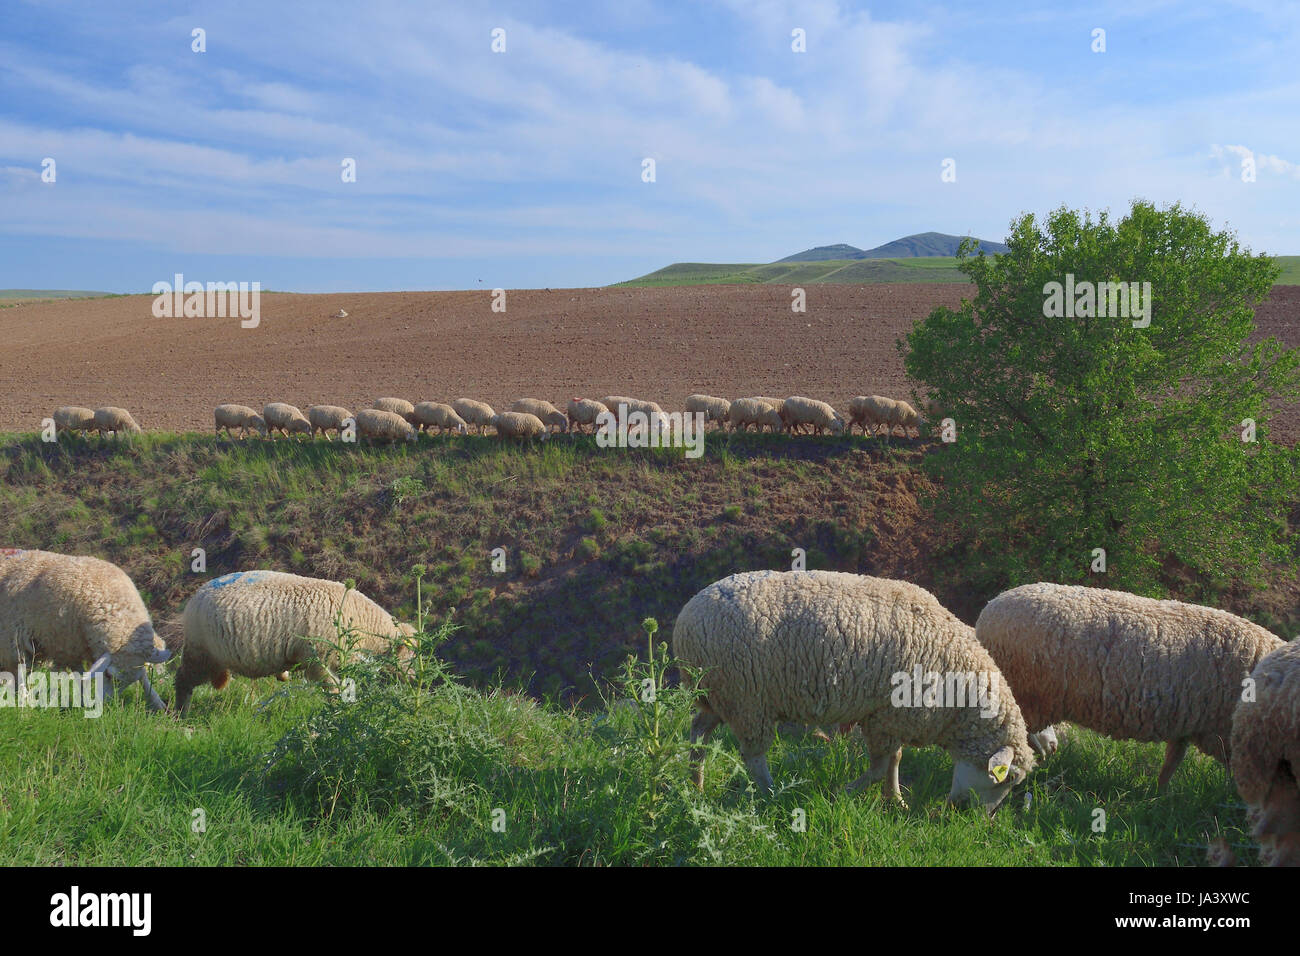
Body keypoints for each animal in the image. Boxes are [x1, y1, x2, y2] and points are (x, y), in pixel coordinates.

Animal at [0, 549, 171, 710]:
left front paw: (157, 702)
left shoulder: (77, 648)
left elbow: (143, 678)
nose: (106, 704)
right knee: (19, 667)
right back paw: (24, 700)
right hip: (13, 634)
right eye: (108, 675)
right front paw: (84, 700)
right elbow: (80, 676)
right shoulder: (68, 646)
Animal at [173, 570, 415, 713]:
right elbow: (334, 691)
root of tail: (198, 592)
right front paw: (339, 712)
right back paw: (180, 713)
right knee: (182, 679)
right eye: (411, 657)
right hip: (200, 651)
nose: (415, 681)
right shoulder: (319, 660)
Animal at [673, 570, 1035, 812]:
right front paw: (842, 793)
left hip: (716, 697)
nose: (978, 820)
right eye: (1008, 780)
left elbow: (893, 761)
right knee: (753, 755)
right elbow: (877, 769)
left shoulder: (891, 717)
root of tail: (685, 619)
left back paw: (696, 783)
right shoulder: (885, 716)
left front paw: (896, 801)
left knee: (698, 733)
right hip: (746, 698)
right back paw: (772, 794)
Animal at [975, 583, 1286, 790]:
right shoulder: (1224, 735)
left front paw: (1160, 796)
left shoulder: (1188, 725)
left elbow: (1172, 762)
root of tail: (990, 608)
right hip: (1027, 694)